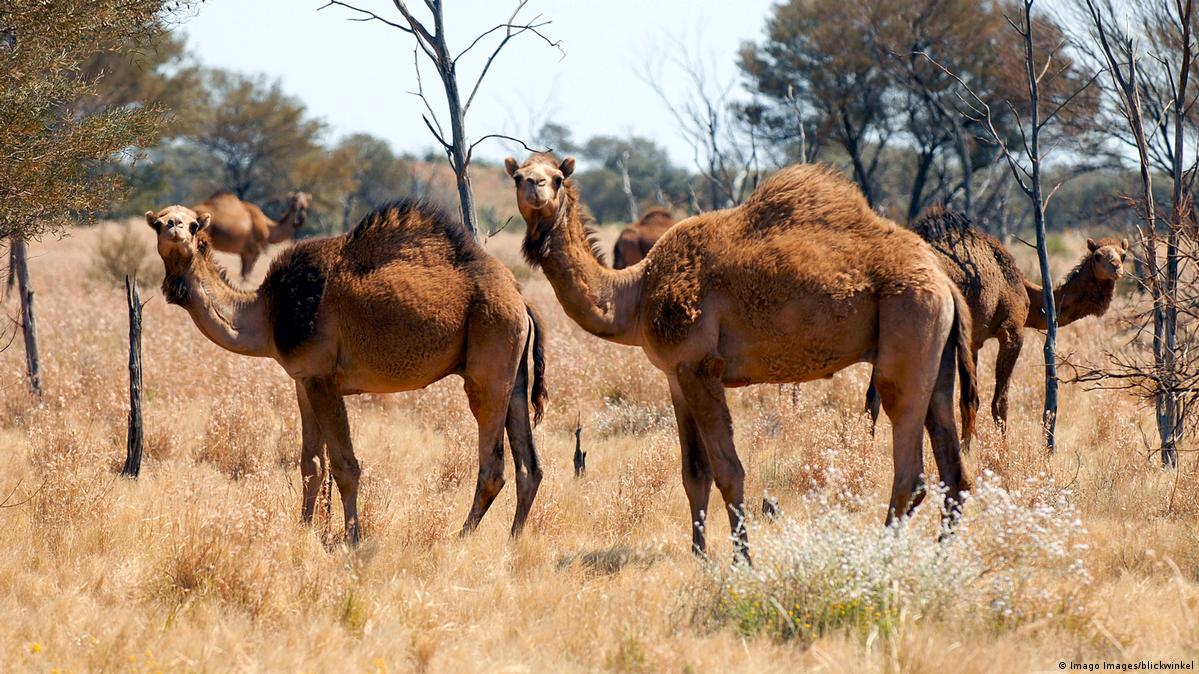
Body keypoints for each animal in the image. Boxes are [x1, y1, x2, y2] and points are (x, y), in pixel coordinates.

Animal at [145, 199, 547, 543]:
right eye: (160, 223)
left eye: (194, 224)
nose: (175, 229)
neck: (268, 314)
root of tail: (521, 297)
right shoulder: (303, 380)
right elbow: (311, 463)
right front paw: (305, 528)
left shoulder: (324, 379)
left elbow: (344, 466)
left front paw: (352, 536)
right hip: (512, 372)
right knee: (530, 466)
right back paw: (513, 539)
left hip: (488, 360)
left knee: (493, 465)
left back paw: (460, 537)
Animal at [505, 153, 977, 558]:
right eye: (519, 175)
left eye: (557, 177)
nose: (535, 187)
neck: (634, 295)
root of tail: (945, 283)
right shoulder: (676, 375)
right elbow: (693, 472)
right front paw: (699, 555)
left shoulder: (700, 367)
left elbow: (728, 471)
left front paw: (742, 559)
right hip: (937, 359)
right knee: (954, 472)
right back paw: (941, 558)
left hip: (908, 331)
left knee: (911, 471)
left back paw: (880, 557)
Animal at [865, 206, 1127, 435]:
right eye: (1097, 256)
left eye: (1124, 254)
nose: (1116, 267)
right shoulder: (1012, 330)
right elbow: (998, 403)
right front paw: (997, 453)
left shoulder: (973, 341)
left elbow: (970, 401)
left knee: (873, 397)